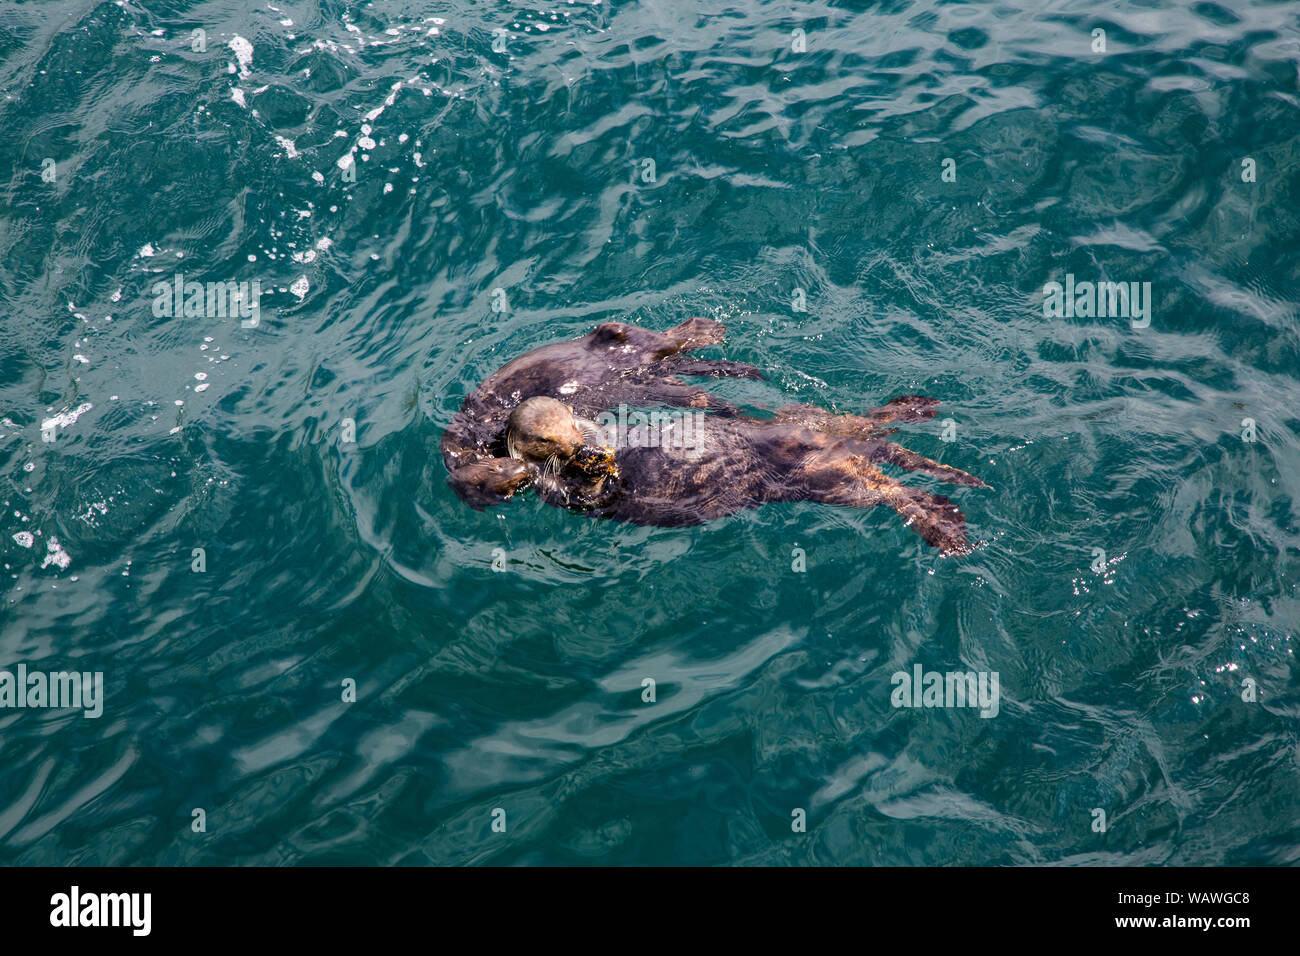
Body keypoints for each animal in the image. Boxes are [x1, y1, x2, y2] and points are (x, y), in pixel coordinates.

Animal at [441, 318, 989, 555]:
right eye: (546, 442)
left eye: (572, 425)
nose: (579, 444)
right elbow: (585, 487)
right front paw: (589, 464)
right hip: (831, 479)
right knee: (891, 487)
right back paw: (947, 523)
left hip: (812, 425)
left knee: (873, 434)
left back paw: (919, 415)